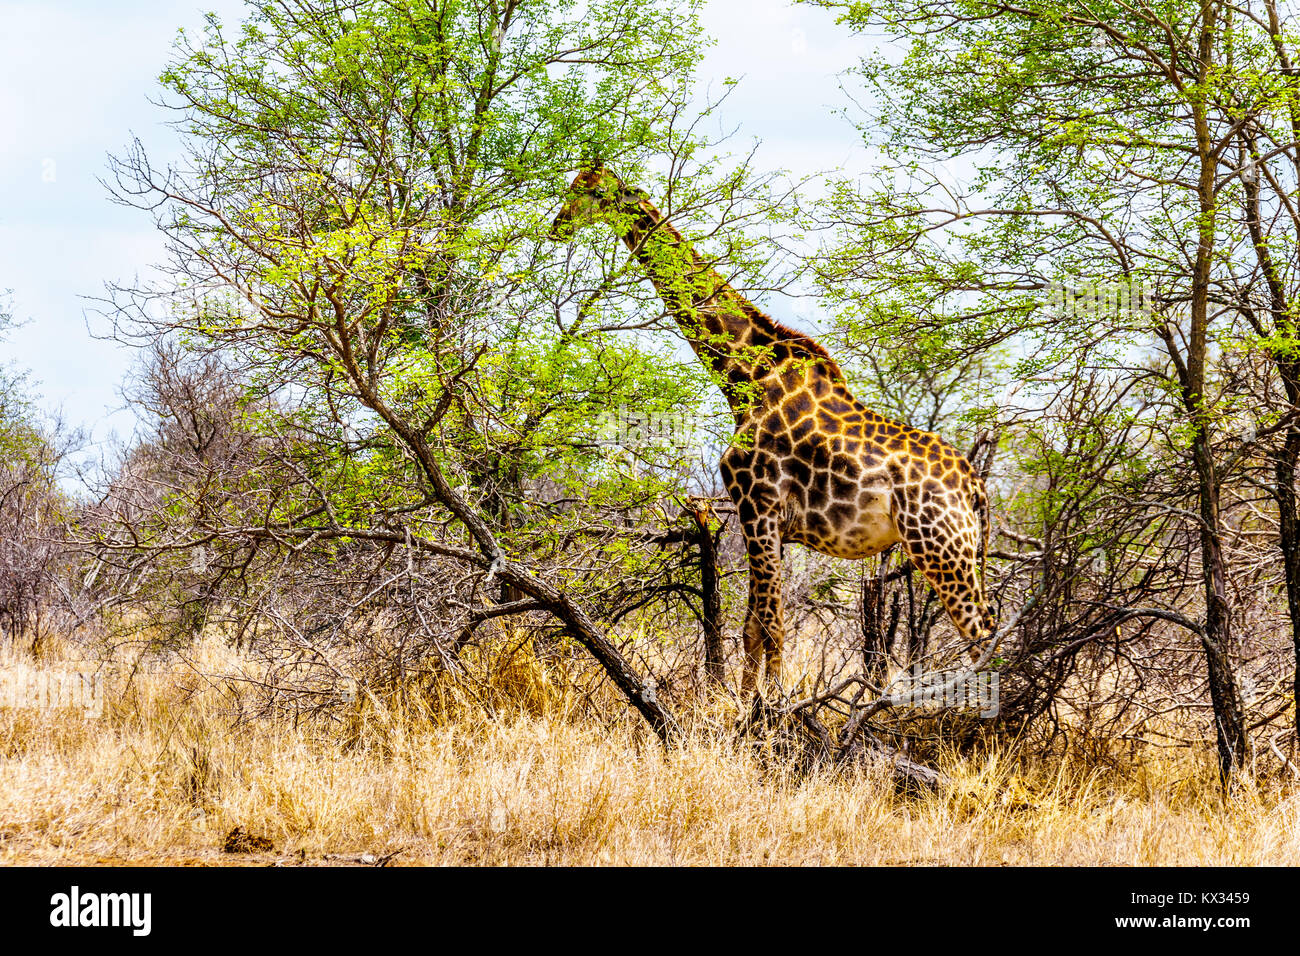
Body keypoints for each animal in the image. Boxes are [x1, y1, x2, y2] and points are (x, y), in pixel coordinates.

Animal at [551, 166, 994, 699]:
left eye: (588, 189)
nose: (556, 226)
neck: (745, 379)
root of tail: (975, 488)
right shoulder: (766, 519)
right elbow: (753, 627)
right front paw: (745, 705)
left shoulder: (757, 505)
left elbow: (772, 622)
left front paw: (776, 707)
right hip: (956, 551)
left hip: (939, 547)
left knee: (983, 634)